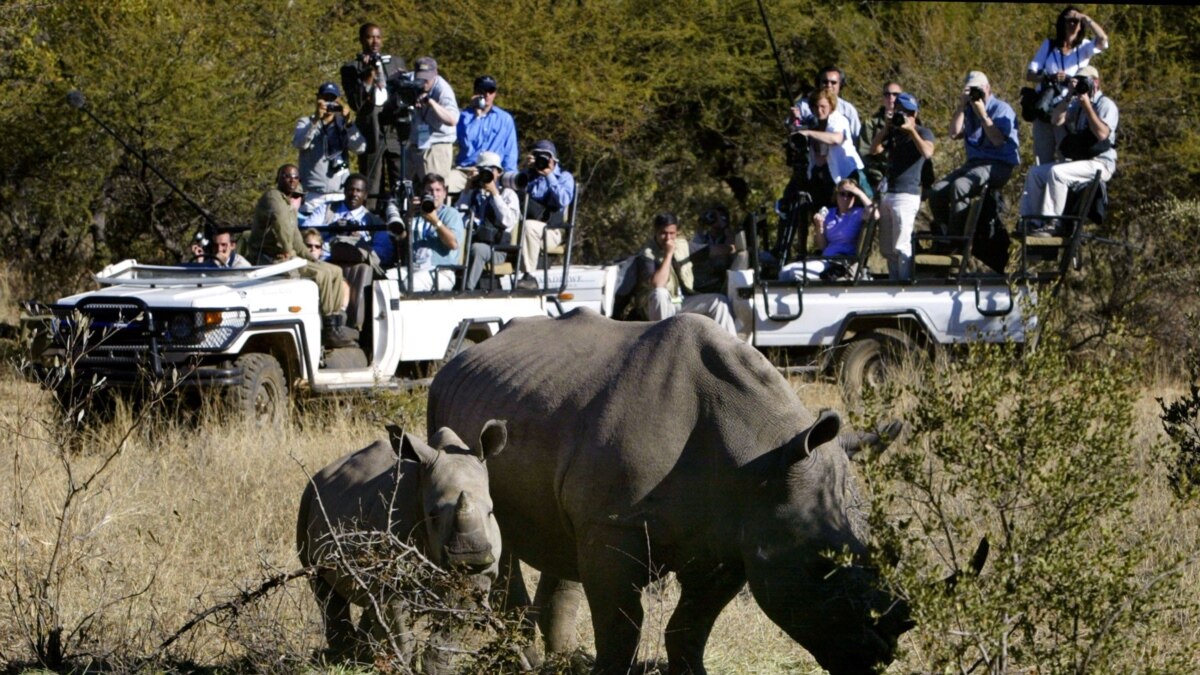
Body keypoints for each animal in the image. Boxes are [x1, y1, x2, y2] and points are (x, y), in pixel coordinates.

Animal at [295, 422, 507, 671]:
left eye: (491, 512)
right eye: (432, 516)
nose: (471, 557)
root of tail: (326, 471)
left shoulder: (479, 576)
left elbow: (449, 631)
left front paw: (433, 669)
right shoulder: (395, 574)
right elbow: (399, 631)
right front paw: (400, 667)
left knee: (370, 600)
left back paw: (360, 658)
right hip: (308, 495)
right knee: (324, 587)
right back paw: (344, 660)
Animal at [427, 308, 911, 674]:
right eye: (820, 568)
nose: (880, 656)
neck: (761, 457)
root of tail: (458, 357)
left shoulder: (732, 538)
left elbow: (691, 626)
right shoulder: (613, 528)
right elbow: (622, 627)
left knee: (560, 539)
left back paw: (562, 660)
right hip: (453, 423)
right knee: (499, 536)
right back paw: (524, 659)